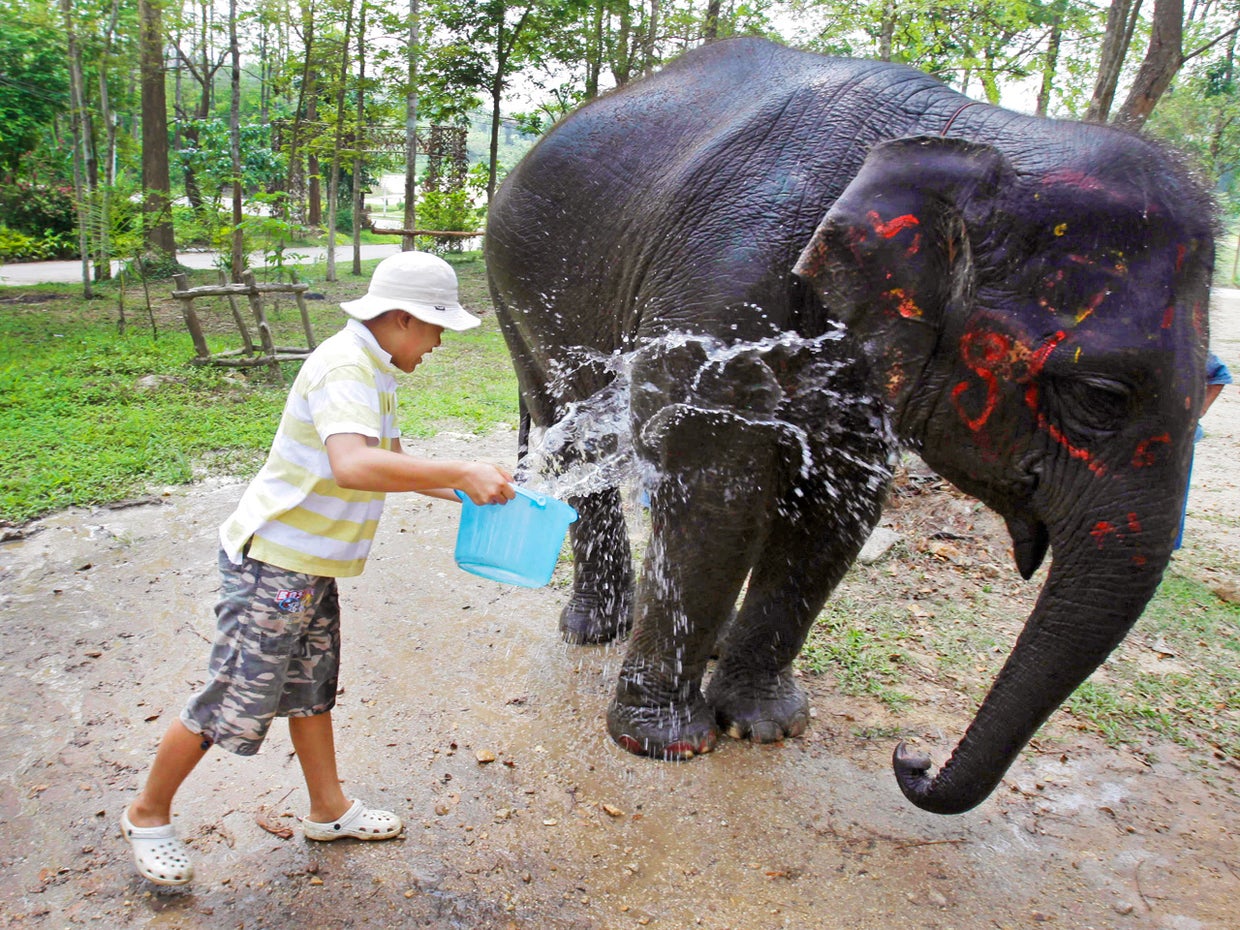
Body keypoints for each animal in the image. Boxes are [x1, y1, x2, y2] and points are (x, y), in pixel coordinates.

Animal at [484, 37, 1214, 814]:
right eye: (1100, 395)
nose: (913, 757)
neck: (974, 133)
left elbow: (839, 505)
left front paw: (766, 725)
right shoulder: (725, 287)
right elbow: (716, 489)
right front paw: (665, 743)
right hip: (518, 284)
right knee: (574, 427)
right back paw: (599, 631)